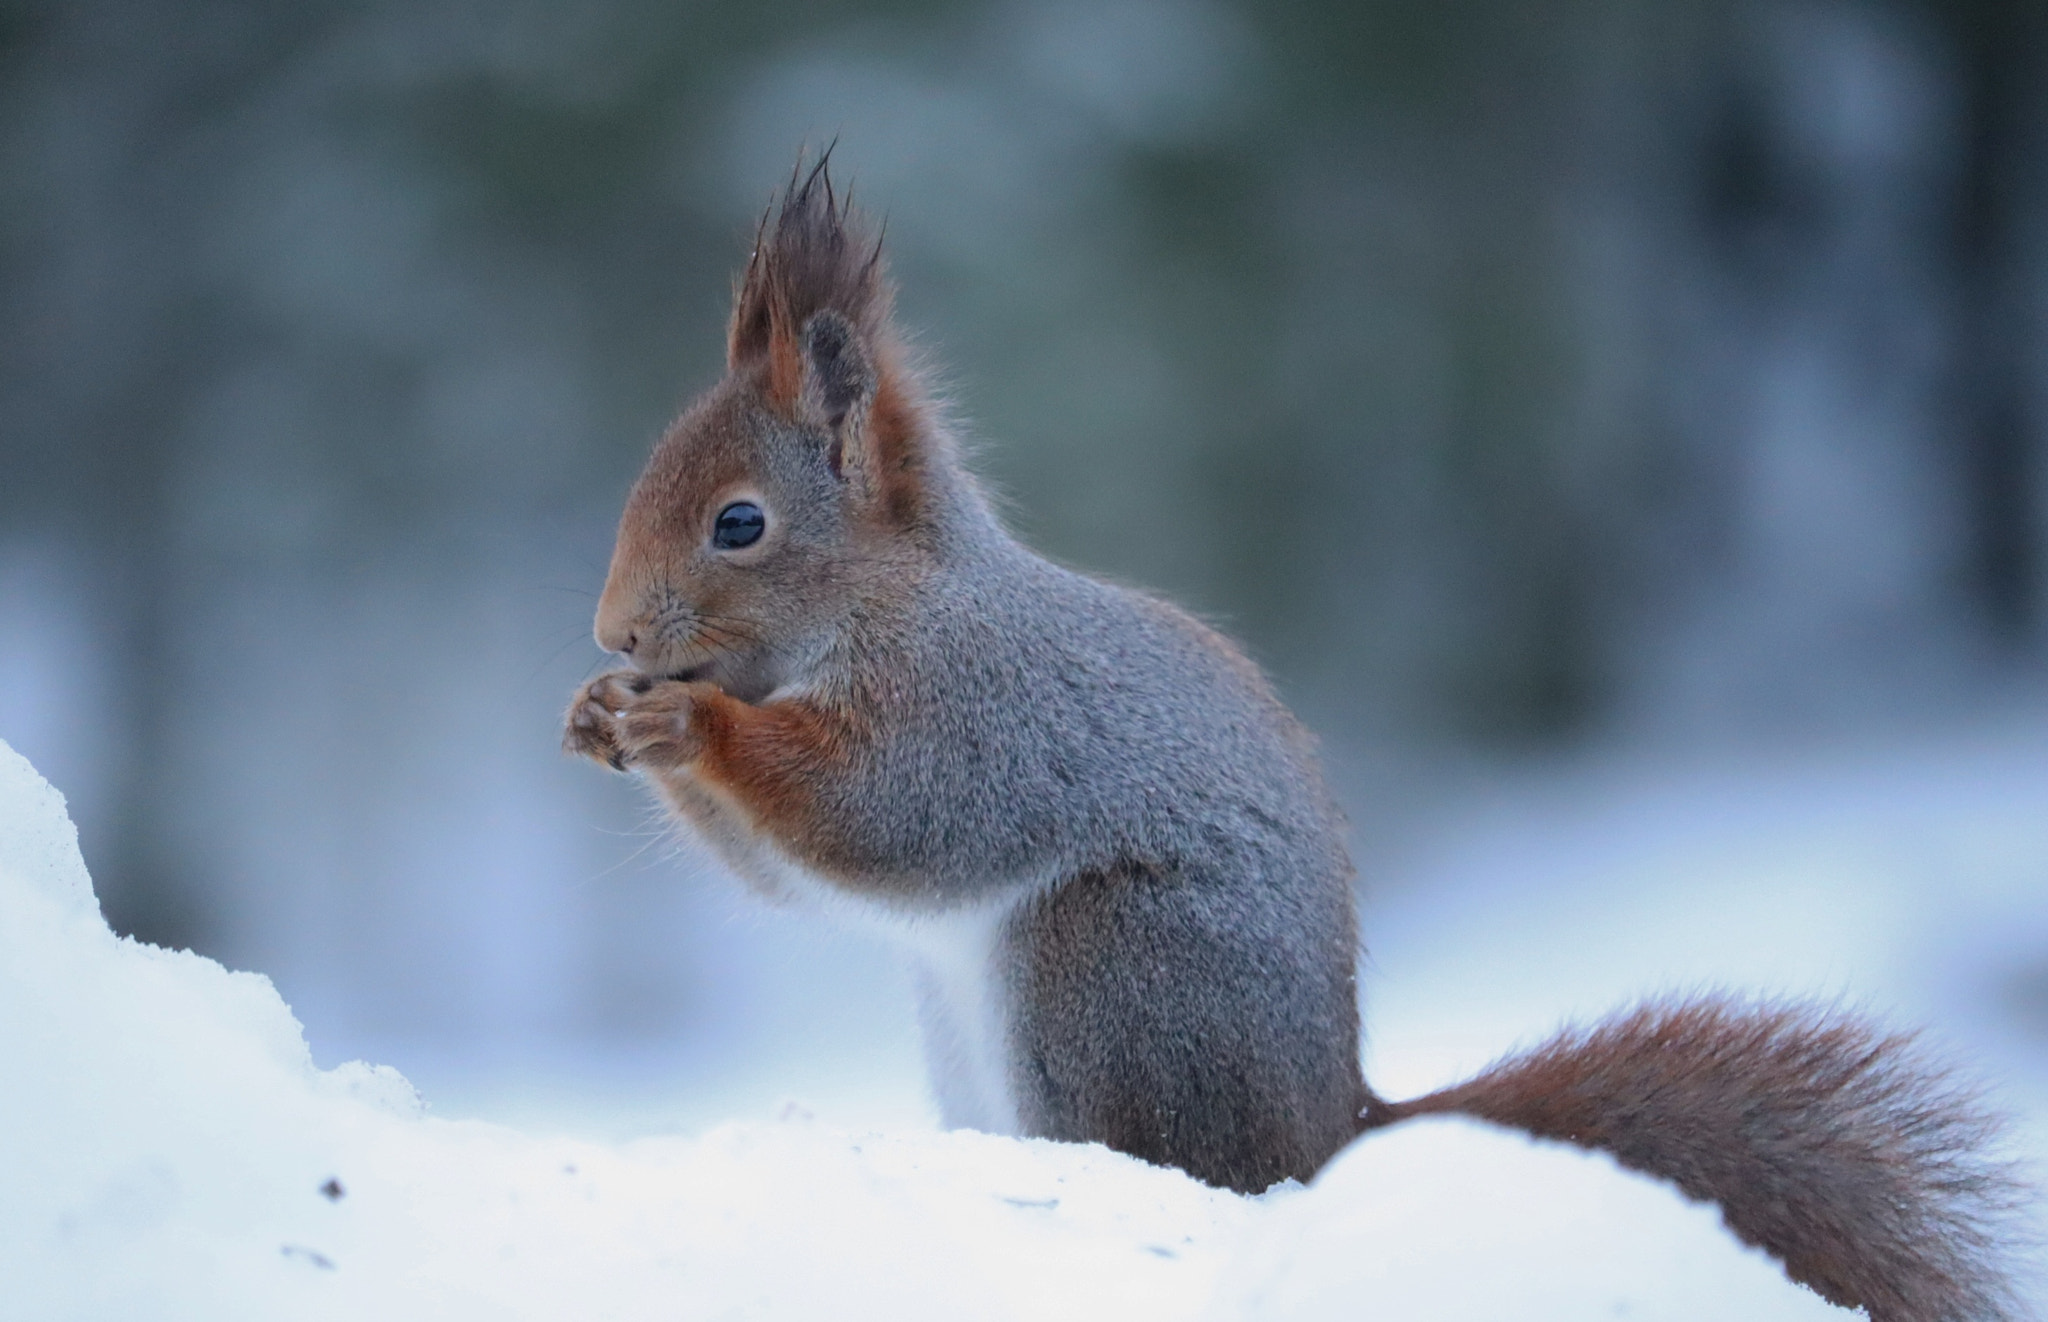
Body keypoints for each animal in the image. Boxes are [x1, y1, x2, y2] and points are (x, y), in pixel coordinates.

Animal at [564, 158, 2028, 1320]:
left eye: (739, 524)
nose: (612, 631)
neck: (894, 600)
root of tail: (1328, 1131)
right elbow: (788, 872)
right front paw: (602, 716)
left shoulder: (983, 711)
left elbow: (885, 813)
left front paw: (689, 717)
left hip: (1112, 968)